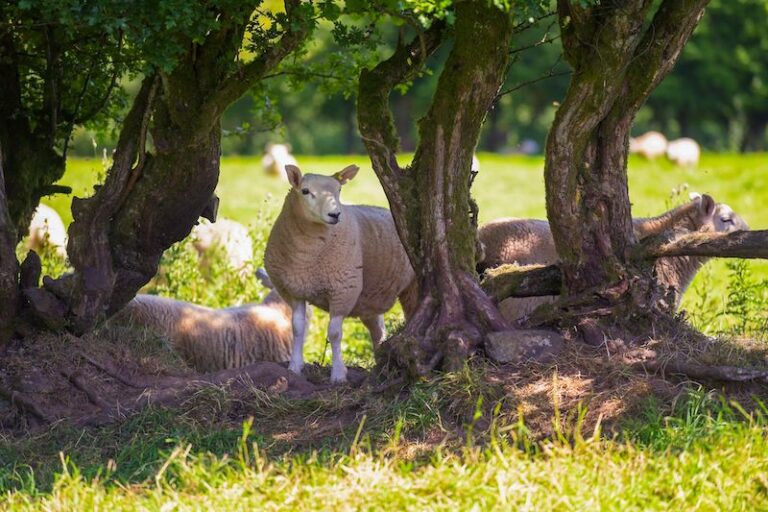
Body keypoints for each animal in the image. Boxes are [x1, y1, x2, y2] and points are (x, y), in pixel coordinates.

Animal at [264, 164, 416, 383]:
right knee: (378, 331)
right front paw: (294, 367)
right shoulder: (294, 290)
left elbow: (334, 334)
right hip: (370, 299)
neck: (306, 259)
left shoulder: (343, 290)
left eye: (339, 190)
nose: (335, 215)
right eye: (305, 191)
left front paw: (338, 374)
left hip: (413, 285)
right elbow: (297, 328)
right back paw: (379, 362)